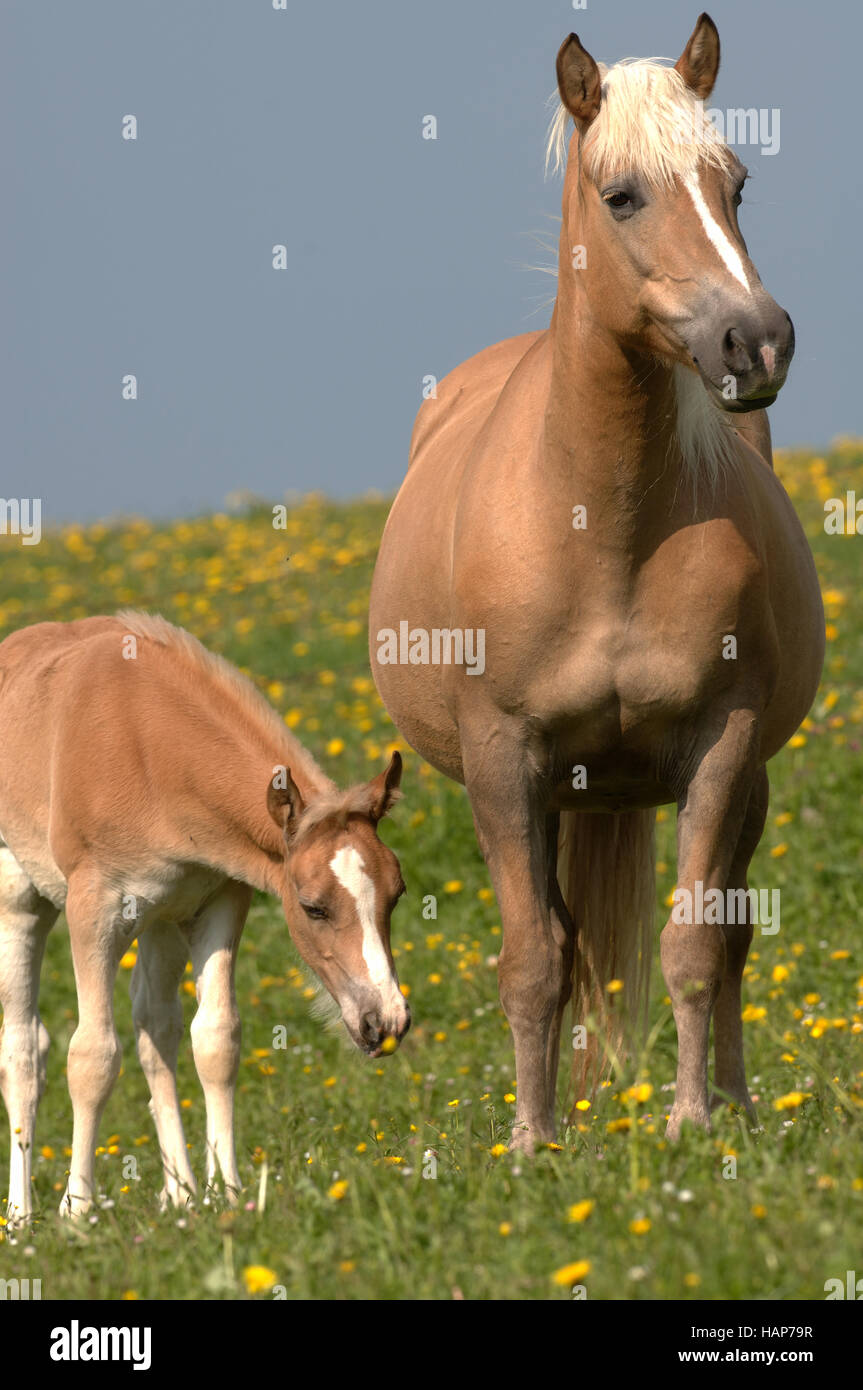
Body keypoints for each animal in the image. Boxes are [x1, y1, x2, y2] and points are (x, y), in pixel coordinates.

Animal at [0, 612, 409, 1221]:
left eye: (397, 895)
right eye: (313, 907)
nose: (385, 1022)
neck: (149, 752)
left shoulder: (217, 899)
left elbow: (216, 1039)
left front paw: (229, 1192)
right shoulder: (92, 908)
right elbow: (91, 1055)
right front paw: (77, 1210)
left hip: (162, 920)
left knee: (156, 1028)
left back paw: (181, 1192)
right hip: (20, 898)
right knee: (25, 1048)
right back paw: (23, 1216)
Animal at [369, 14, 824, 1151]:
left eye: (734, 182)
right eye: (621, 194)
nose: (757, 342)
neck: (597, 527)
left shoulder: (721, 747)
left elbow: (694, 946)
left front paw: (691, 1121)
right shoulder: (503, 764)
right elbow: (532, 960)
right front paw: (532, 1142)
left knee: (727, 934)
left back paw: (738, 1105)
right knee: (565, 941)